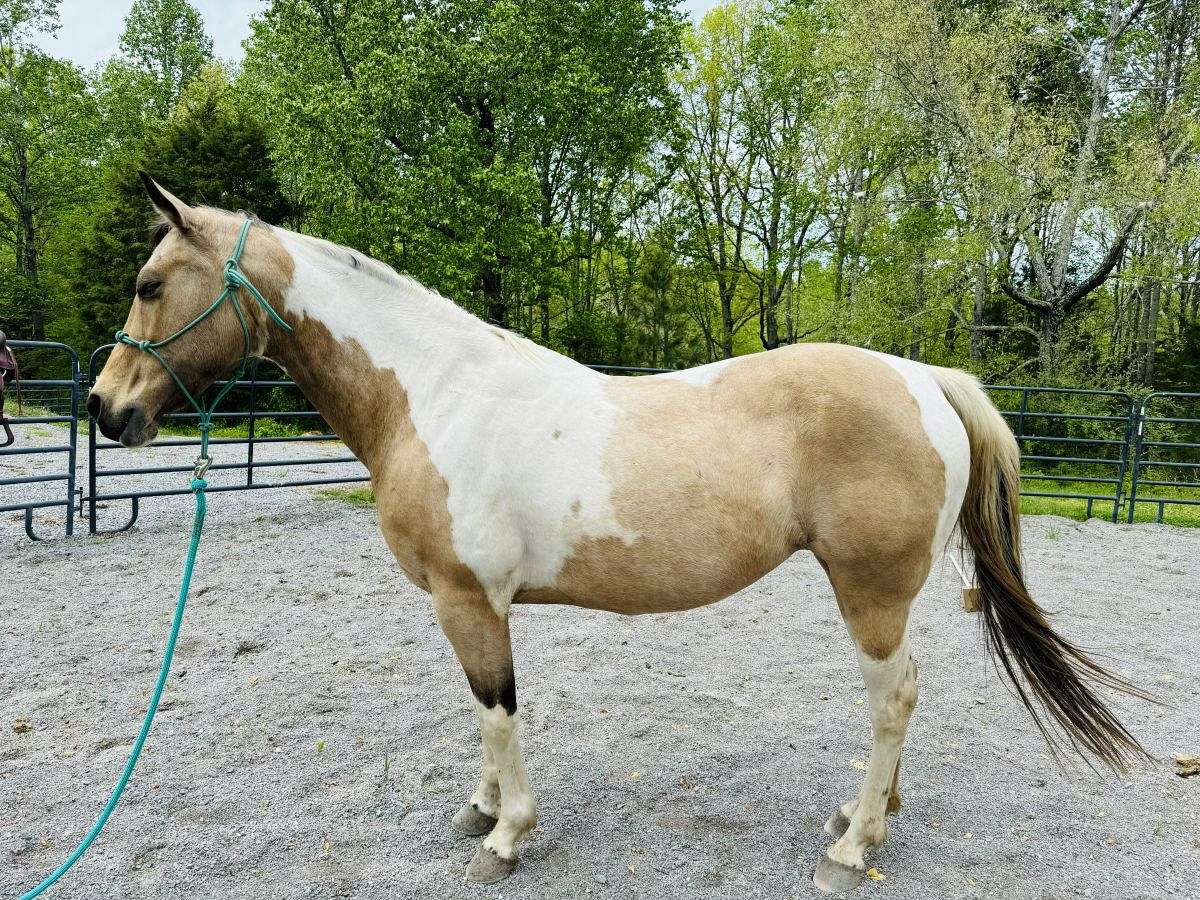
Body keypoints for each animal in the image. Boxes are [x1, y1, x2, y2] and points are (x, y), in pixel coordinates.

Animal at [87, 176, 1149, 891]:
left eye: (149, 282)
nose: (104, 408)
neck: (432, 395)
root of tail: (923, 377)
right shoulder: (469, 607)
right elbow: (483, 713)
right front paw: (480, 810)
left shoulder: (471, 602)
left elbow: (498, 711)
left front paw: (506, 835)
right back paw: (865, 812)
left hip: (872, 592)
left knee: (895, 700)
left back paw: (853, 849)